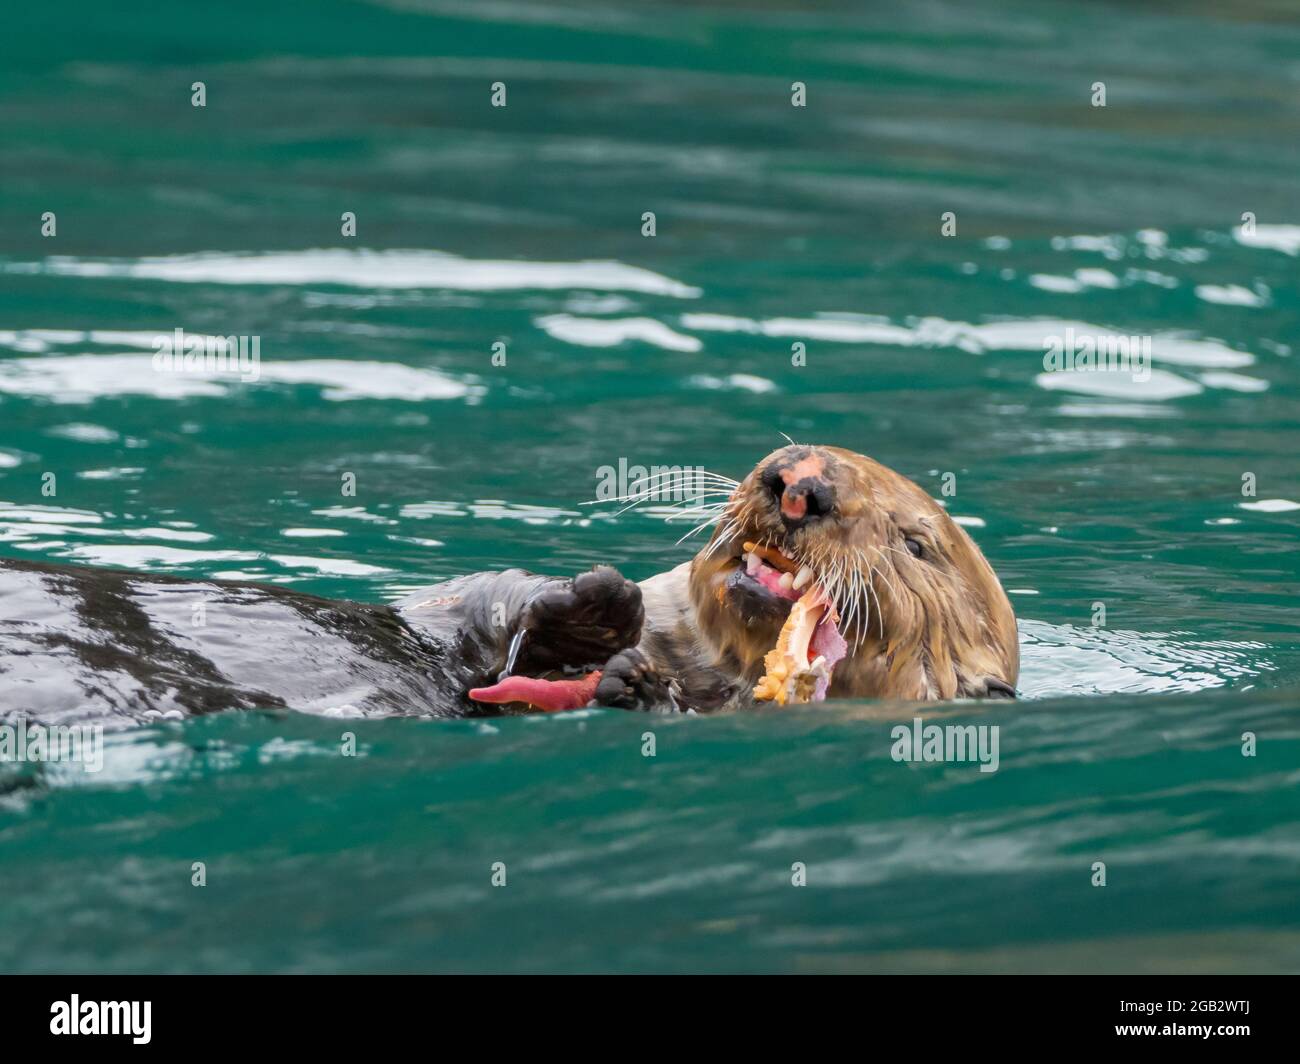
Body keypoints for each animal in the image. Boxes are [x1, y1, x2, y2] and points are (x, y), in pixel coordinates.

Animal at [0, 445, 1017, 724]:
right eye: (795, 453)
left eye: (917, 544)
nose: (799, 481)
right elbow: (469, 597)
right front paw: (599, 606)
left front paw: (629, 683)